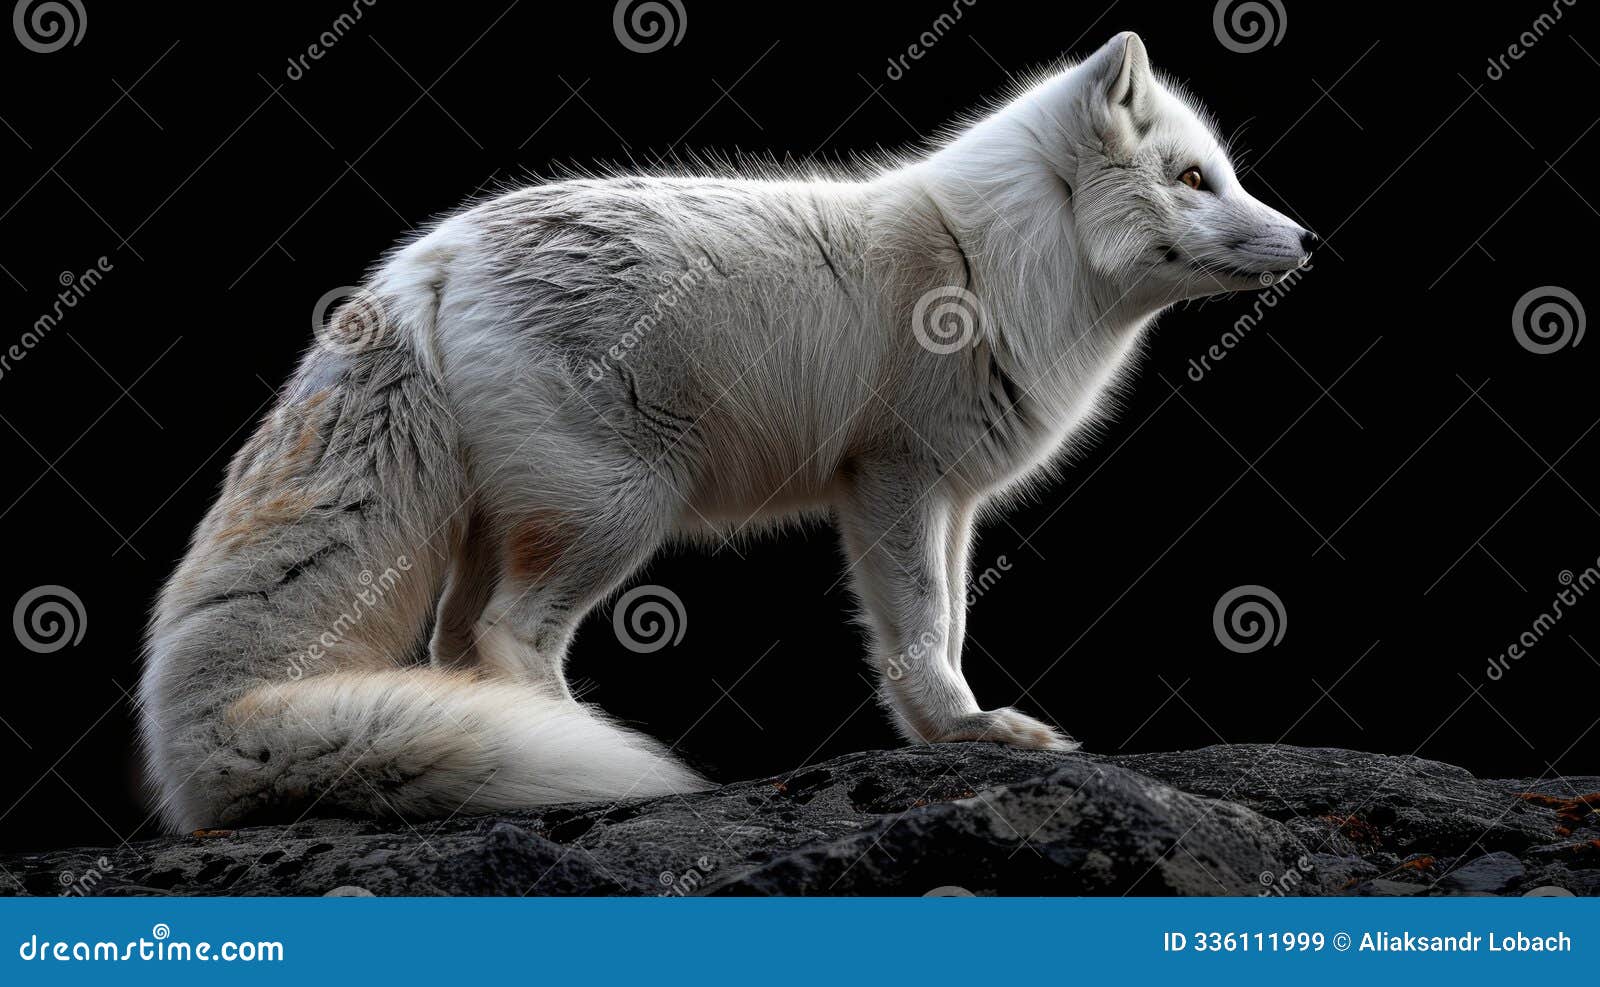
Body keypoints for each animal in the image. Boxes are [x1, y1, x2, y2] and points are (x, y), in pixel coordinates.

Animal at [140, 32, 1315, 831]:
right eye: (1195, 179)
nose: (1305, 238)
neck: (991, 265)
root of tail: (427, 258)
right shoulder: (894, 480)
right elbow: (924, 627)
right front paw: (968, 729)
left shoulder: (946, 497)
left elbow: (936, 633)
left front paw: (954, 734)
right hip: (613, 512)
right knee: (508, 636)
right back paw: (586, 752)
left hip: (511, 523)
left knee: (451, 647)